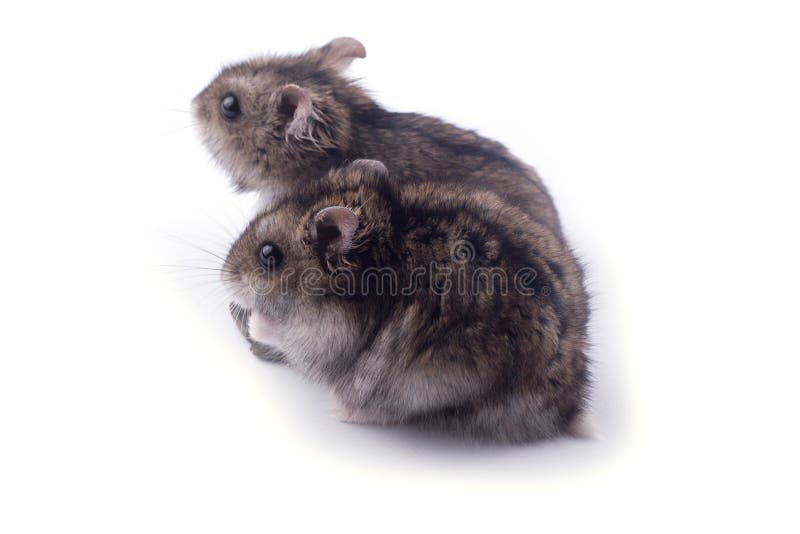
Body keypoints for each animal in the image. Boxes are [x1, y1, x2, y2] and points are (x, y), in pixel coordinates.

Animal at [222, 159, 590, 443]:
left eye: (268, 254)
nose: (224, 276)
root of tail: (569, 407)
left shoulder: (324, 334)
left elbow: (282, 332)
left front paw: (255, 322)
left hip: (424, 384)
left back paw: (344, 412)